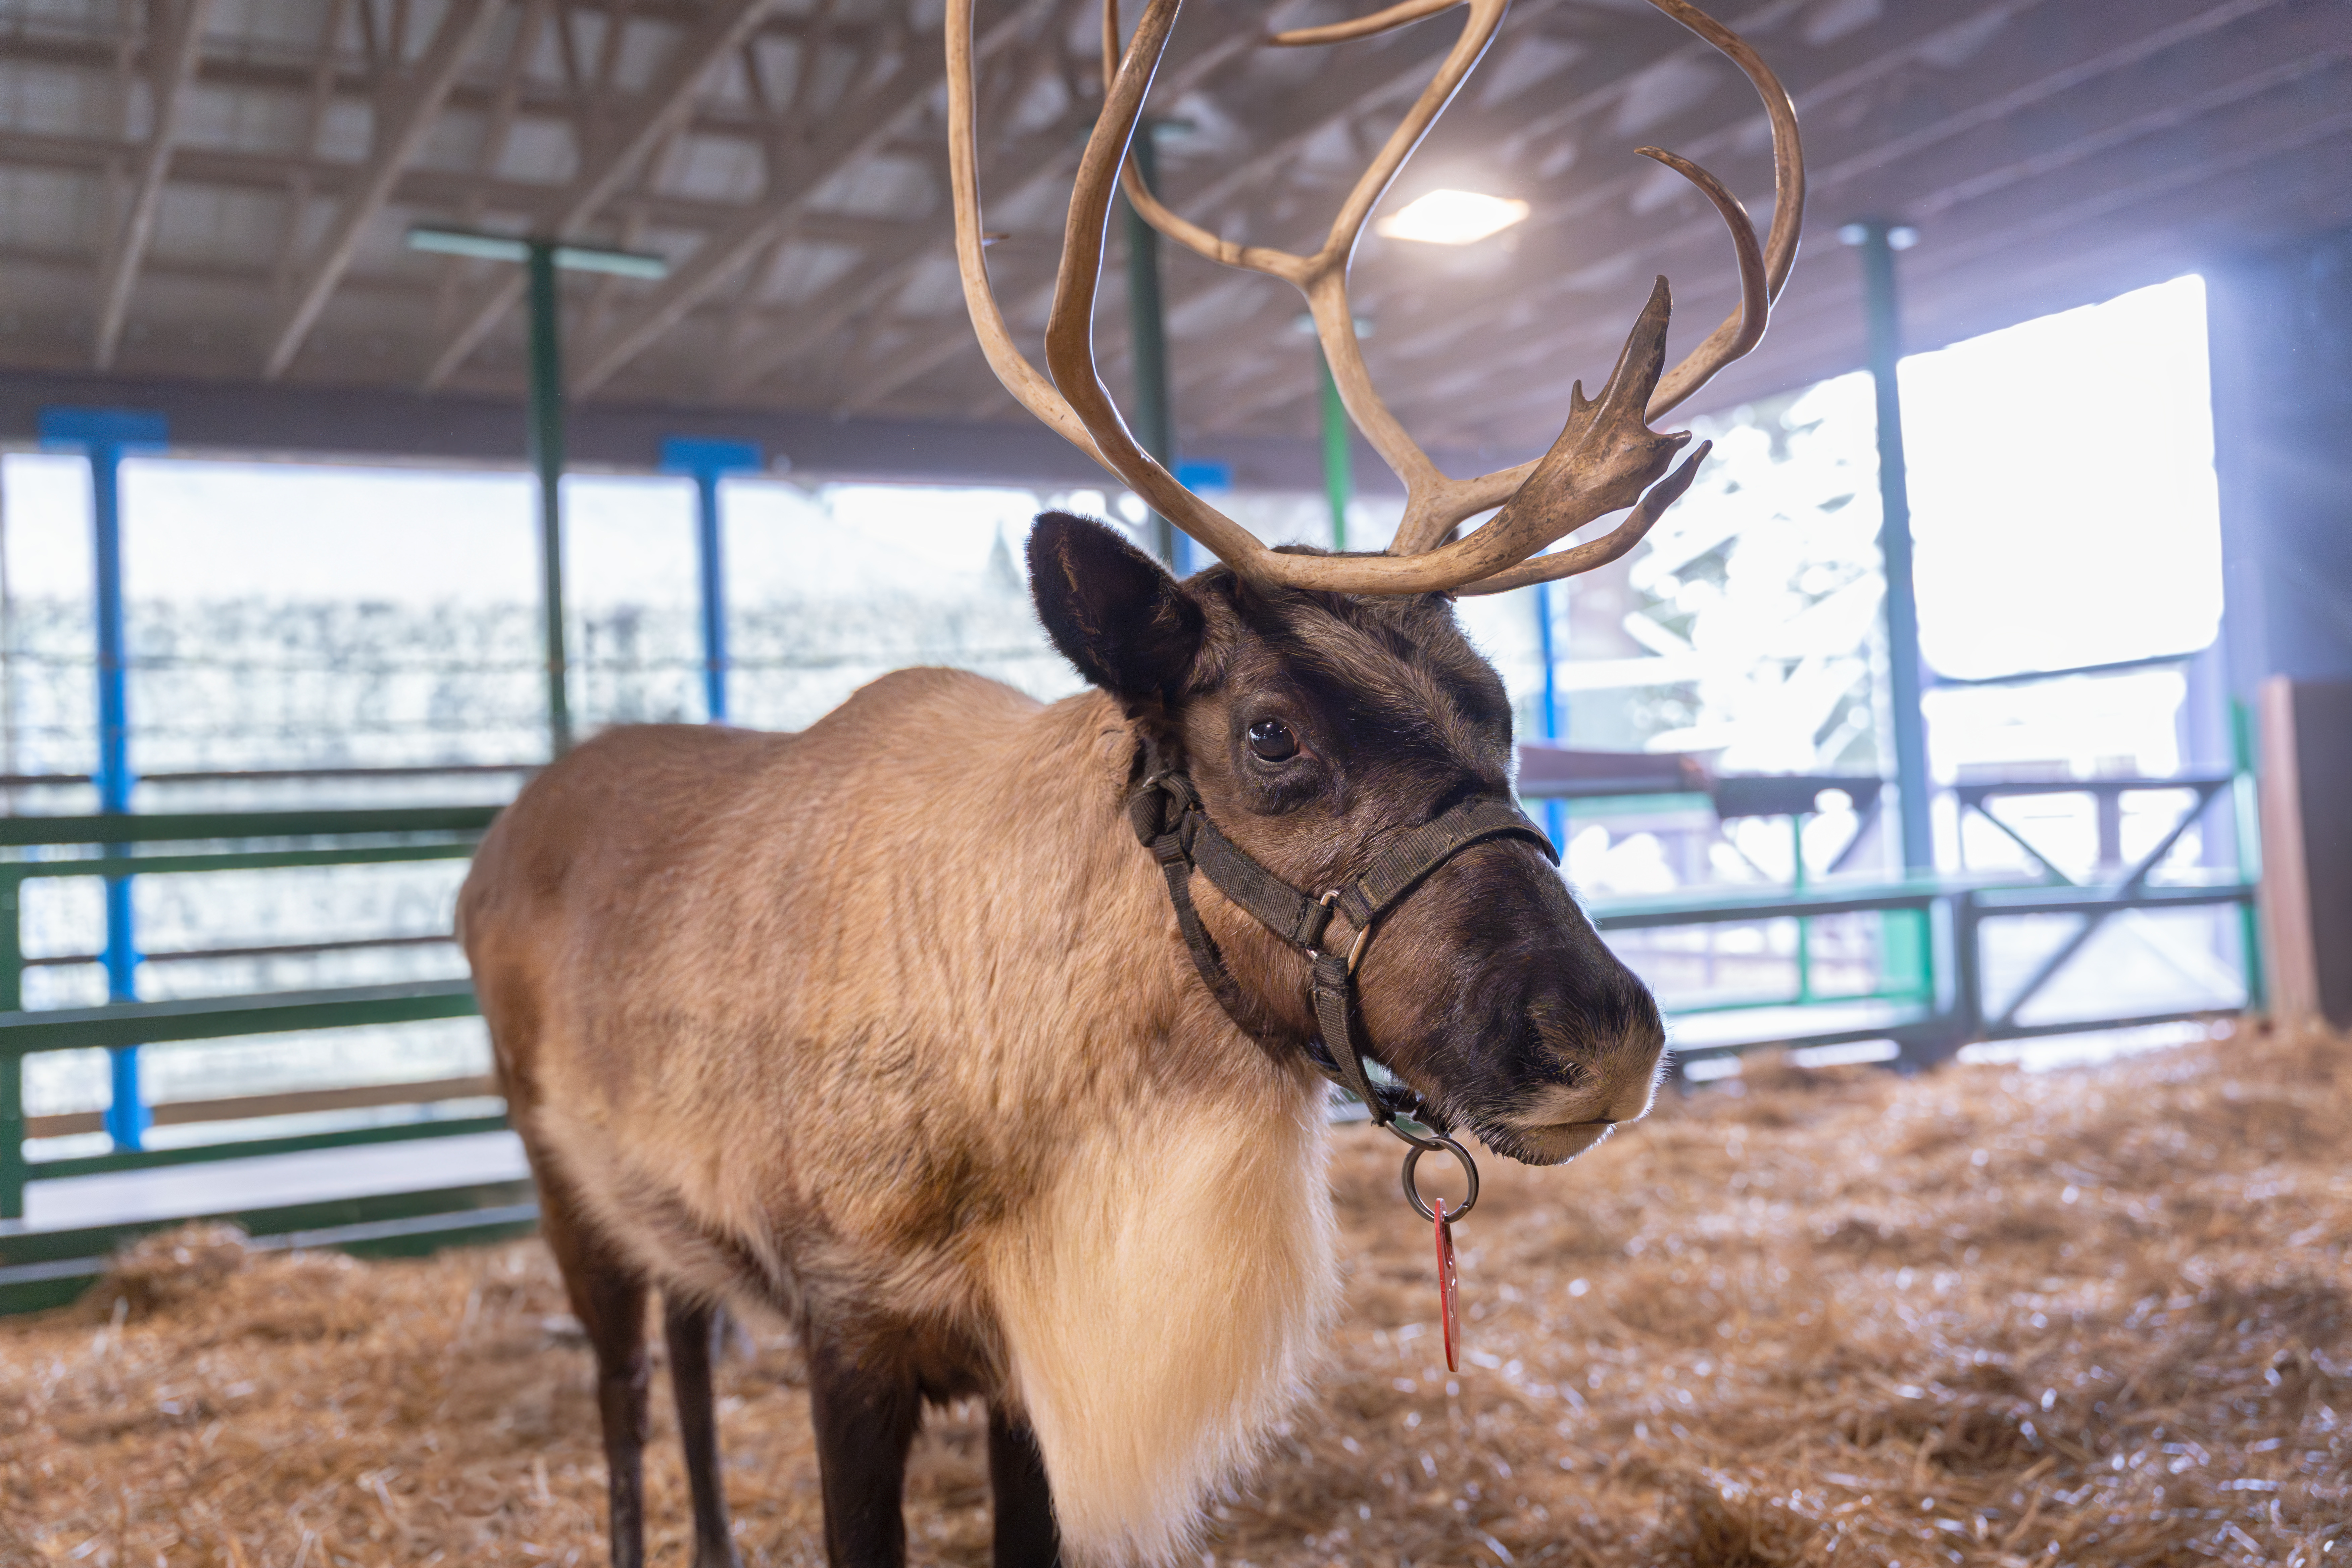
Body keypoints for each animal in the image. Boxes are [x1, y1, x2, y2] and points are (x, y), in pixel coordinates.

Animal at [455, 0, 1800, 1563]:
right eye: (1271, 734)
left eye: (1500, 705)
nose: (1604, 1031)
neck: (1061, 1140)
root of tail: (500, 835)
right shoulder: (852, 1331)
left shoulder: (1028, 1374)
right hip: (561, 1175)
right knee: (620, 1385)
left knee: (683, 1339)